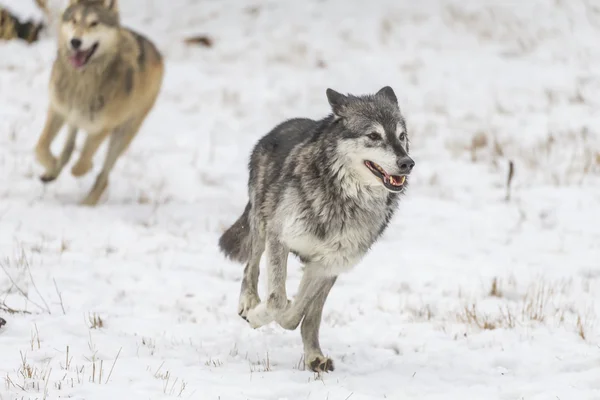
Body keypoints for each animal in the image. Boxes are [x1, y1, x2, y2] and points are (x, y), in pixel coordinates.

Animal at [34, 0, 164, 206]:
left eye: (94, 23)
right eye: (74, 20)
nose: (75, 42)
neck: (82, 81)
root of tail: (155, 49)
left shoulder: (102, 126)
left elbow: (83, 161)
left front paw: (81, 168)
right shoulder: (58, 110)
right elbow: (41, 147)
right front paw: (52, 167)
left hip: (122, 134)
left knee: (104, 175)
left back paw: (87, 203)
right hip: (75, 119)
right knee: (69, 148)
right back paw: (53, 172)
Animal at [218, 86, 414, 374]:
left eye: (401, 136)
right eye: (374, 136)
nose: (407, 163)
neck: (344, 200)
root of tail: (282, 126)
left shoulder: (328, 263)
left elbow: (302, 314)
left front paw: (308, 347)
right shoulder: (279, 238)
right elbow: (278, 301)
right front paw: (256, 316)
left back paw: (314, 357)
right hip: (262, 225)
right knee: (250, 267)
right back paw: (249, 303)